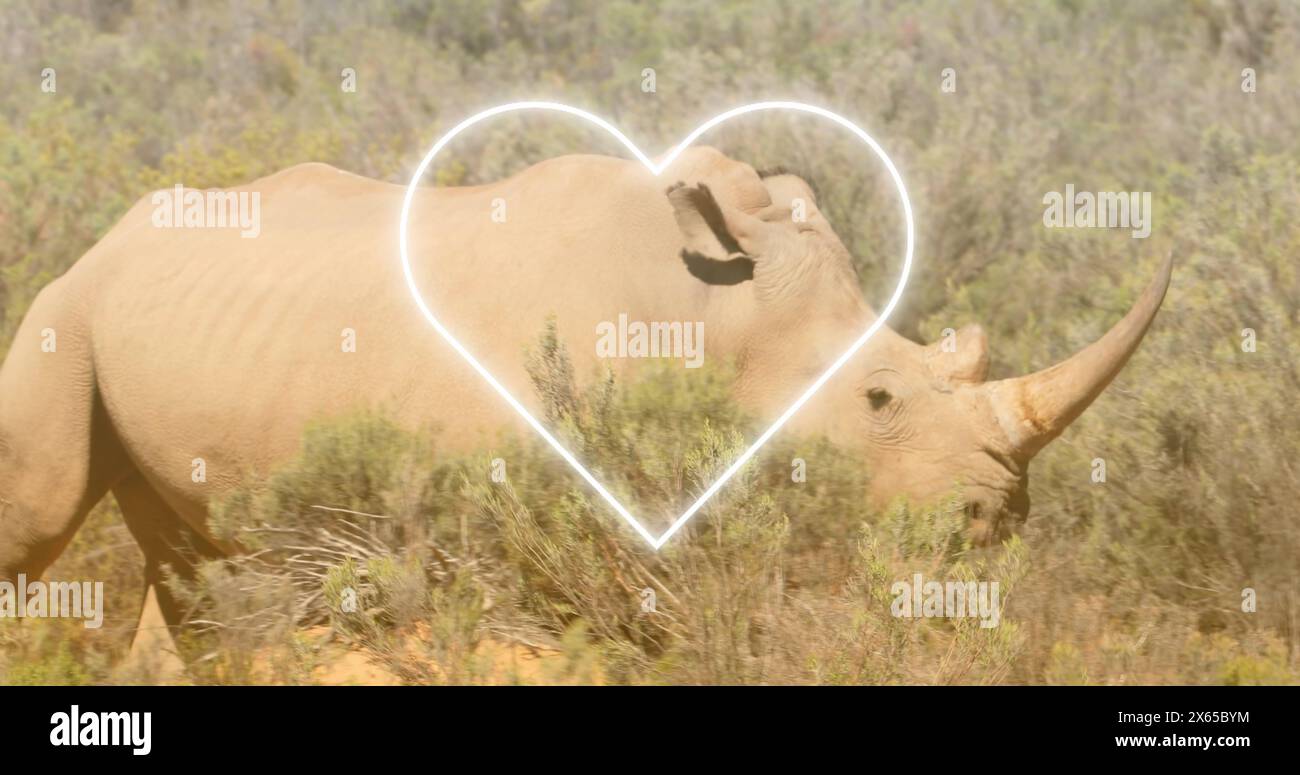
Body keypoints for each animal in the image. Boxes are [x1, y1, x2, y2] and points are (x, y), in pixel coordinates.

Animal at [0, 146, 1170, 657]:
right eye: (878, 396)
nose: (992, 520)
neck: (713, 315)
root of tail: (114, 234)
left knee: (197, 581)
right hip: (66, 309)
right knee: (42, 514)